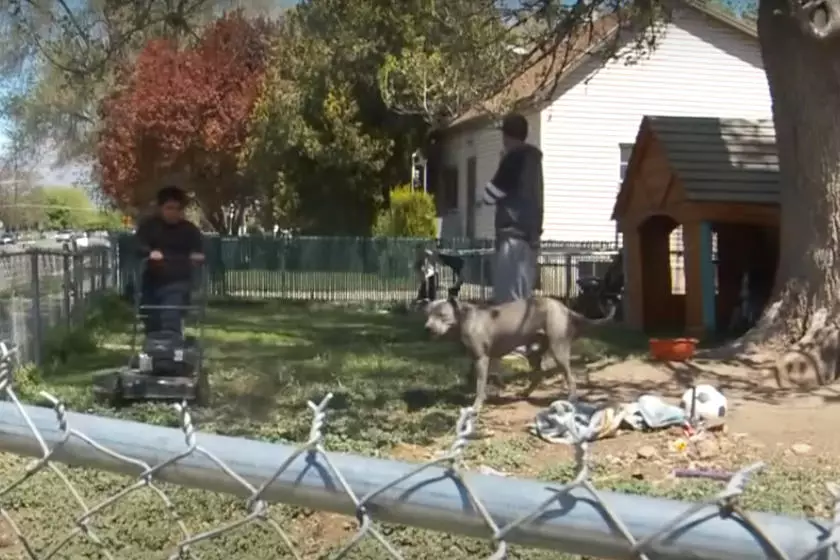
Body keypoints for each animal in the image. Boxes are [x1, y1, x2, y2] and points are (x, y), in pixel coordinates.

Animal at [424, 296, 612, 410]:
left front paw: (477, 403)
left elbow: (480, 383)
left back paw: (571, 398)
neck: (464, 318)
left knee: (570, 376)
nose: (427, 328)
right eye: (427, 315)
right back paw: (525, 393)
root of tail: (563, 307)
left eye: (442, 315)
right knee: (538, 374)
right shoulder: (479, 358)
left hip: (558, 349)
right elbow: (482, 377)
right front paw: (496, 388)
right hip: (533, 351)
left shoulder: (481, 358)